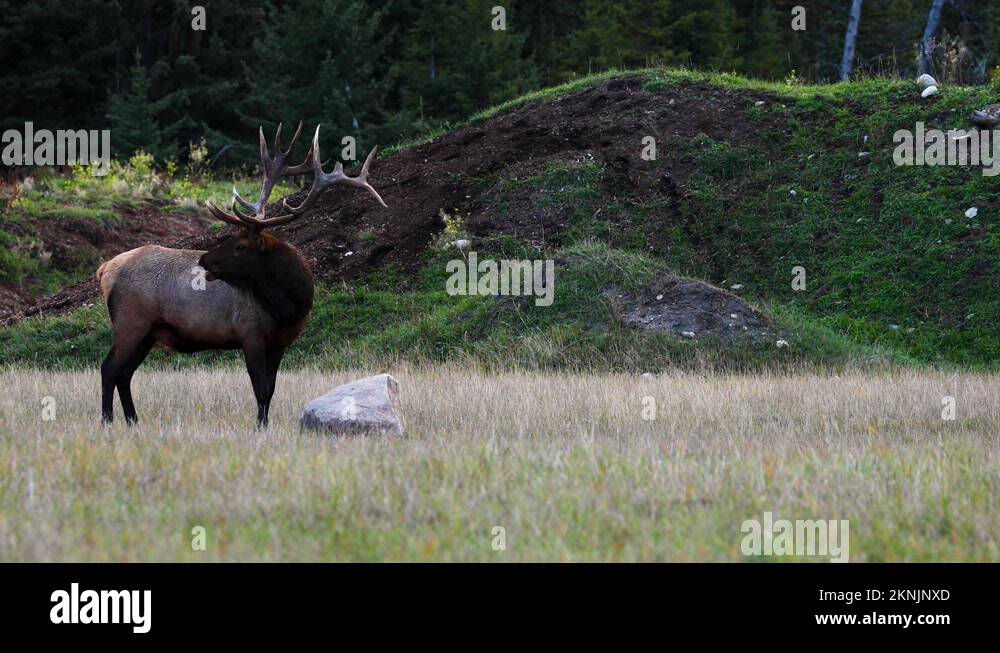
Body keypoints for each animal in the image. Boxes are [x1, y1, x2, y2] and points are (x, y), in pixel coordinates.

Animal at [96, 123, 386, 427]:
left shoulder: (281, 343)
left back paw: (133, 421)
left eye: (240, 245)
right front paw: (260, 426)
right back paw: (107, 421)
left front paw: (264, 423)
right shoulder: (250, 334)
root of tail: (105, 270)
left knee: (124, 374)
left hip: (148, 332)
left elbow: (271, 389)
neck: (289, 306)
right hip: (131, 322)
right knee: (109, 369)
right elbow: (260, 388)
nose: (203, 259)